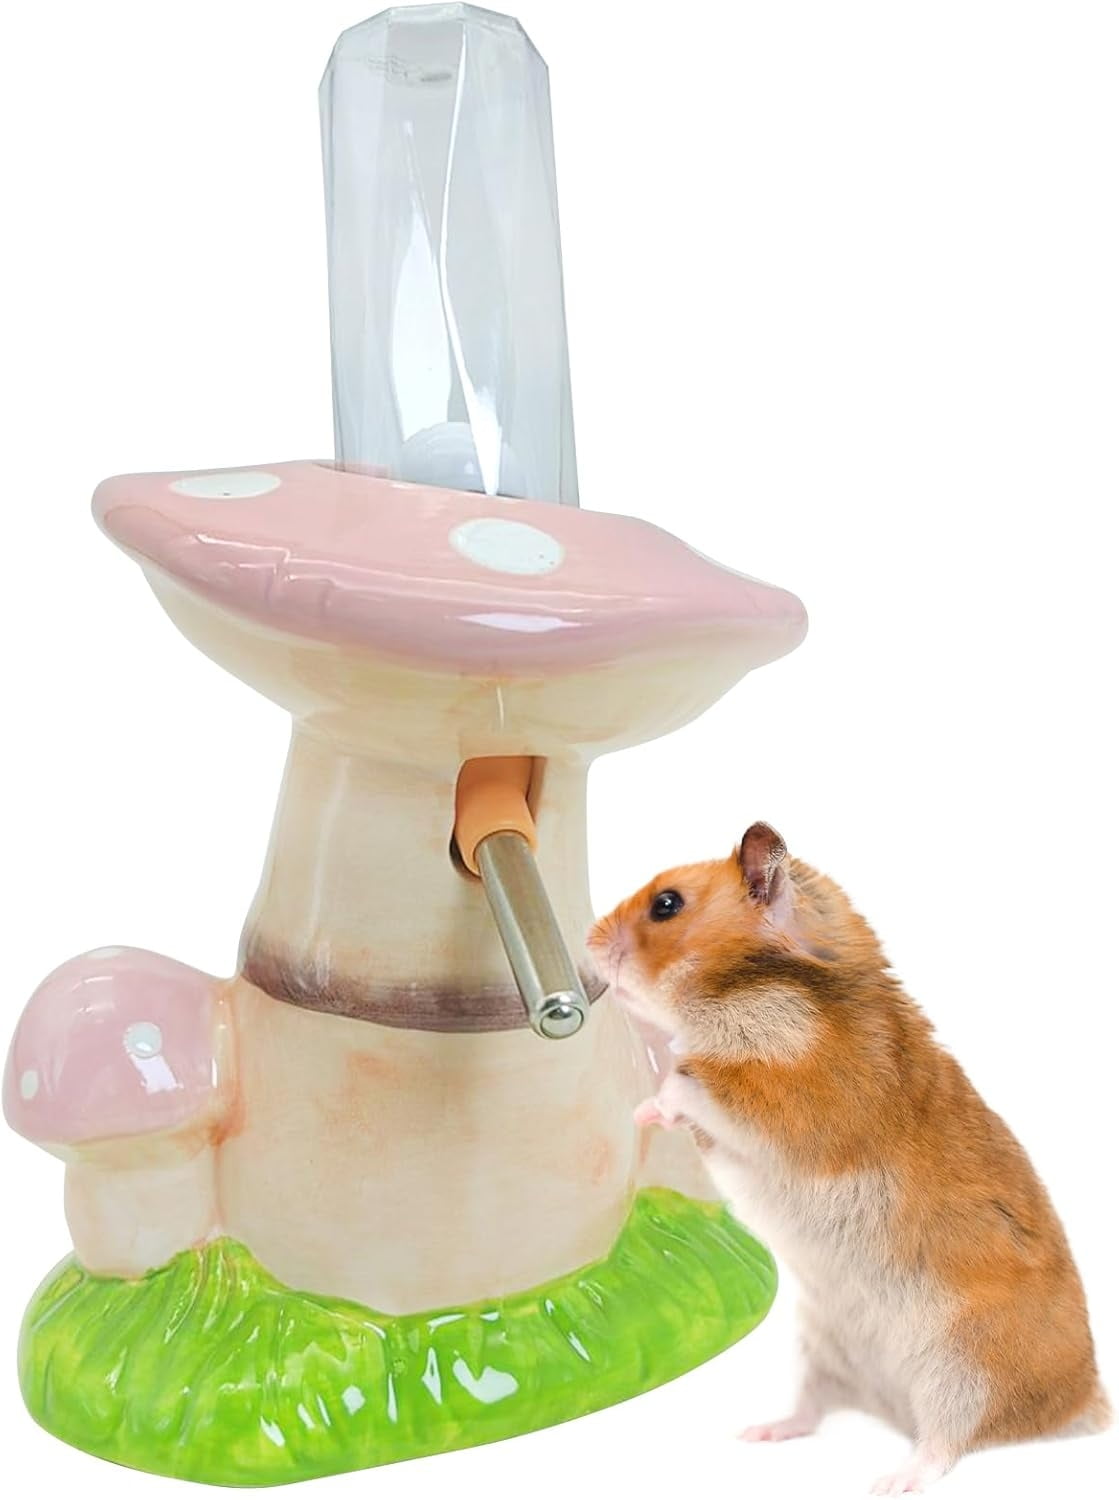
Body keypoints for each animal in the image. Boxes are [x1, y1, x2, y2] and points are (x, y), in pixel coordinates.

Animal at [588, 822, 1108, 1494]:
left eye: (667, 904)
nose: (587, 941)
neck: (760, 988)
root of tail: (1083, 1404)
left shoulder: (787, 1101)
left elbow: (693, 1082)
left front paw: (644, 1104)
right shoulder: (731, 1146)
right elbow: (693, 1108)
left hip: (965, 1368)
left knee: (946, 1444)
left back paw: (893, 1480)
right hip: (828, 1344)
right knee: (814, 1410)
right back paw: (762, 1432)